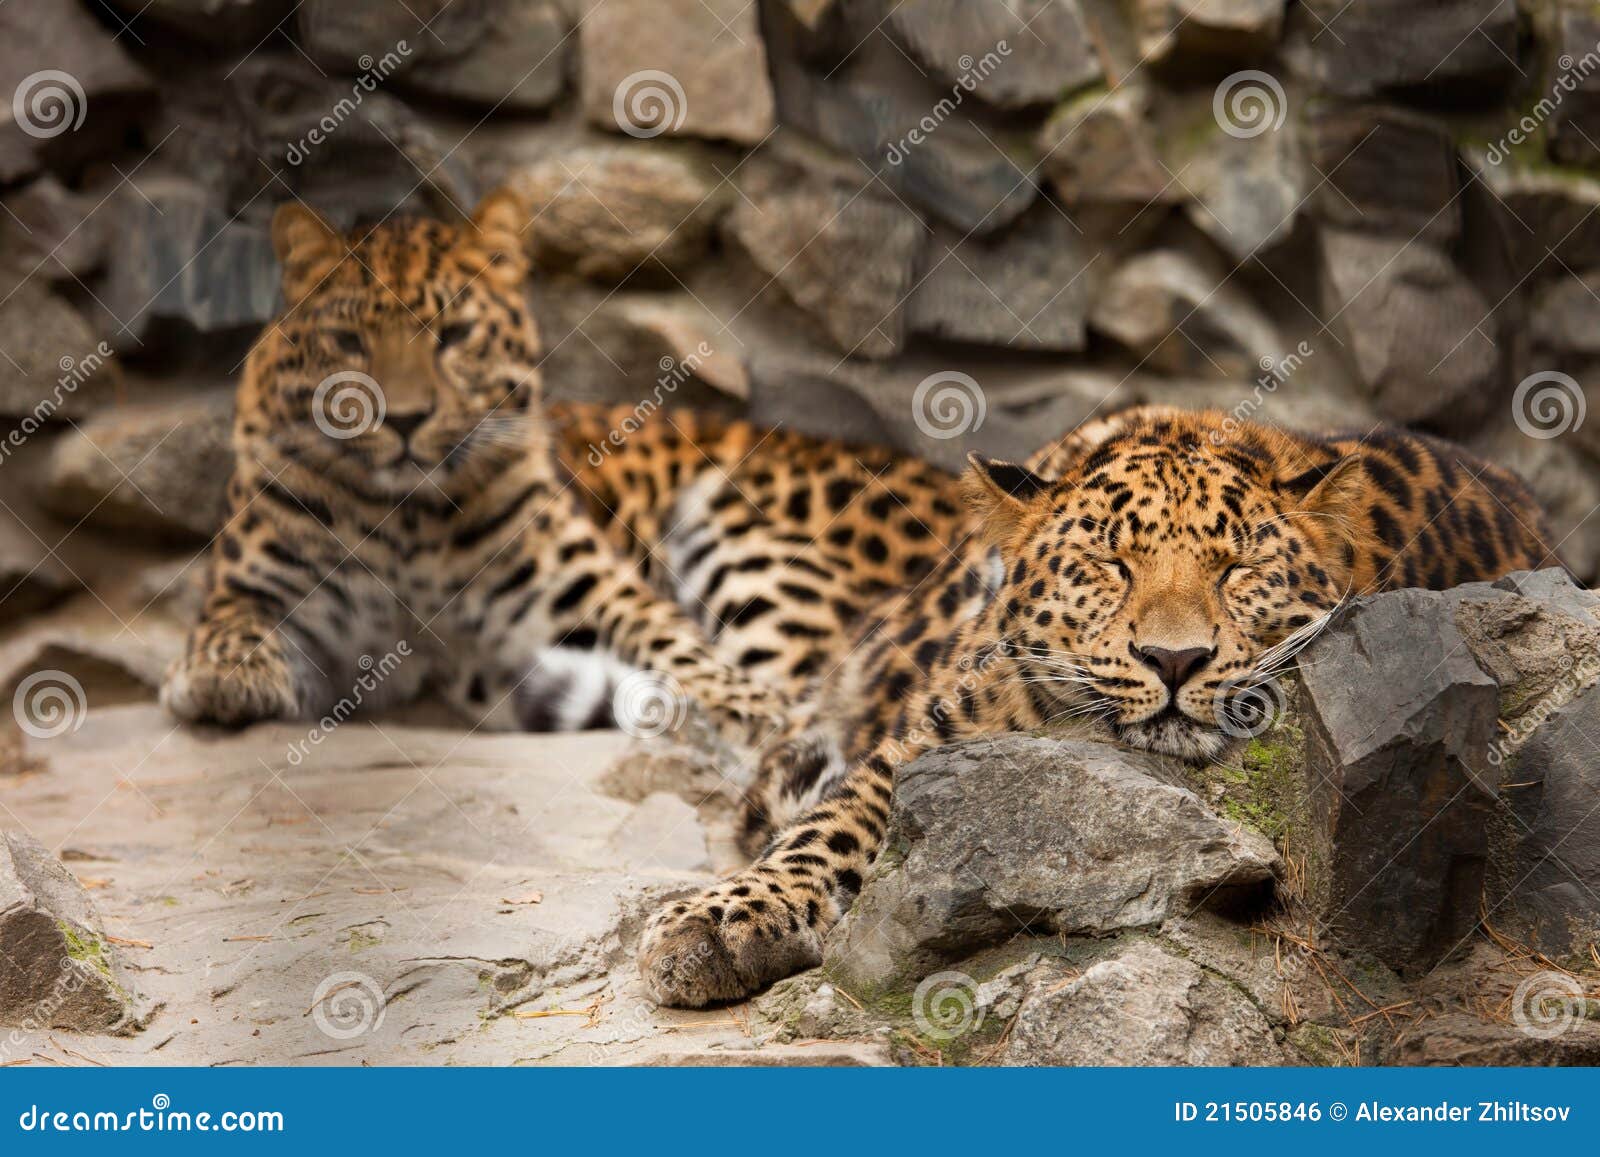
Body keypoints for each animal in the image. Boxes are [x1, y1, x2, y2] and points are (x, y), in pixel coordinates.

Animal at [161, 190, 971, 752]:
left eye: (455, 334)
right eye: (349, 341)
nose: (405, 419)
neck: (406, 521)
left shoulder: (593, 590)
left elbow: (682, 645)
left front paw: (747, 709)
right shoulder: (253, 586)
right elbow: (226, 627)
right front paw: (223, 679)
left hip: (740, 524)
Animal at [638, 404, 1558, 1007]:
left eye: (1236, 569)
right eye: (1112, 563)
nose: (1176, 658)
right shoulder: (942, 725)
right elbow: (831, 823)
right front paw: (718, 919)